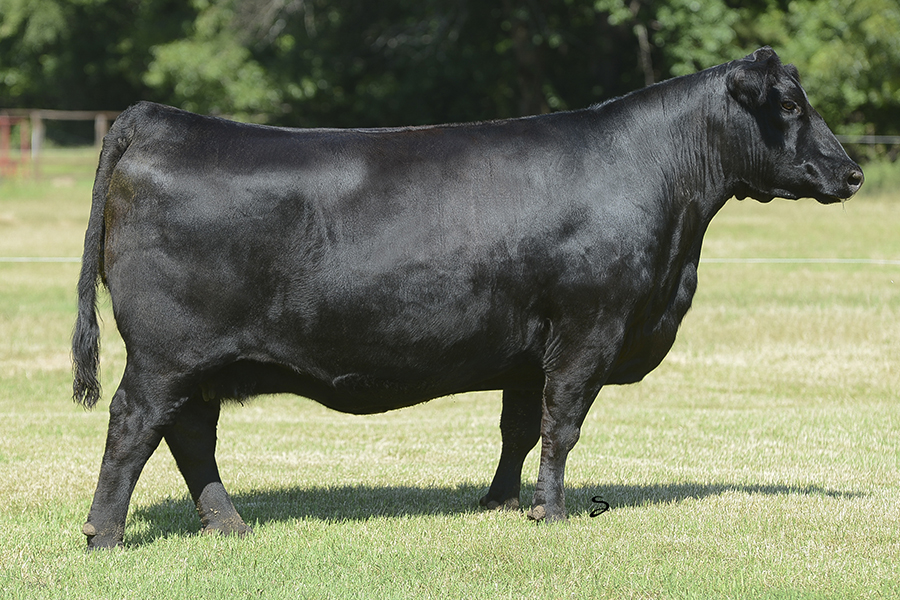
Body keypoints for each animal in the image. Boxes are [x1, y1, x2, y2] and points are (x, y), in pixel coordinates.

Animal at [72, 47, 862, 548]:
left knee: (189, 434)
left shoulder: (527, 349)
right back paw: (105, 535)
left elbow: (519, 428)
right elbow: (562, 425)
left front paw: (500, 502)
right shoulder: (589, 326)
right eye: (790, 103)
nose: (852, 172)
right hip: (167, 355)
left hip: (199, 364)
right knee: (134, 425)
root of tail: (159, 118)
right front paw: (551, 514)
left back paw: (228, 525)